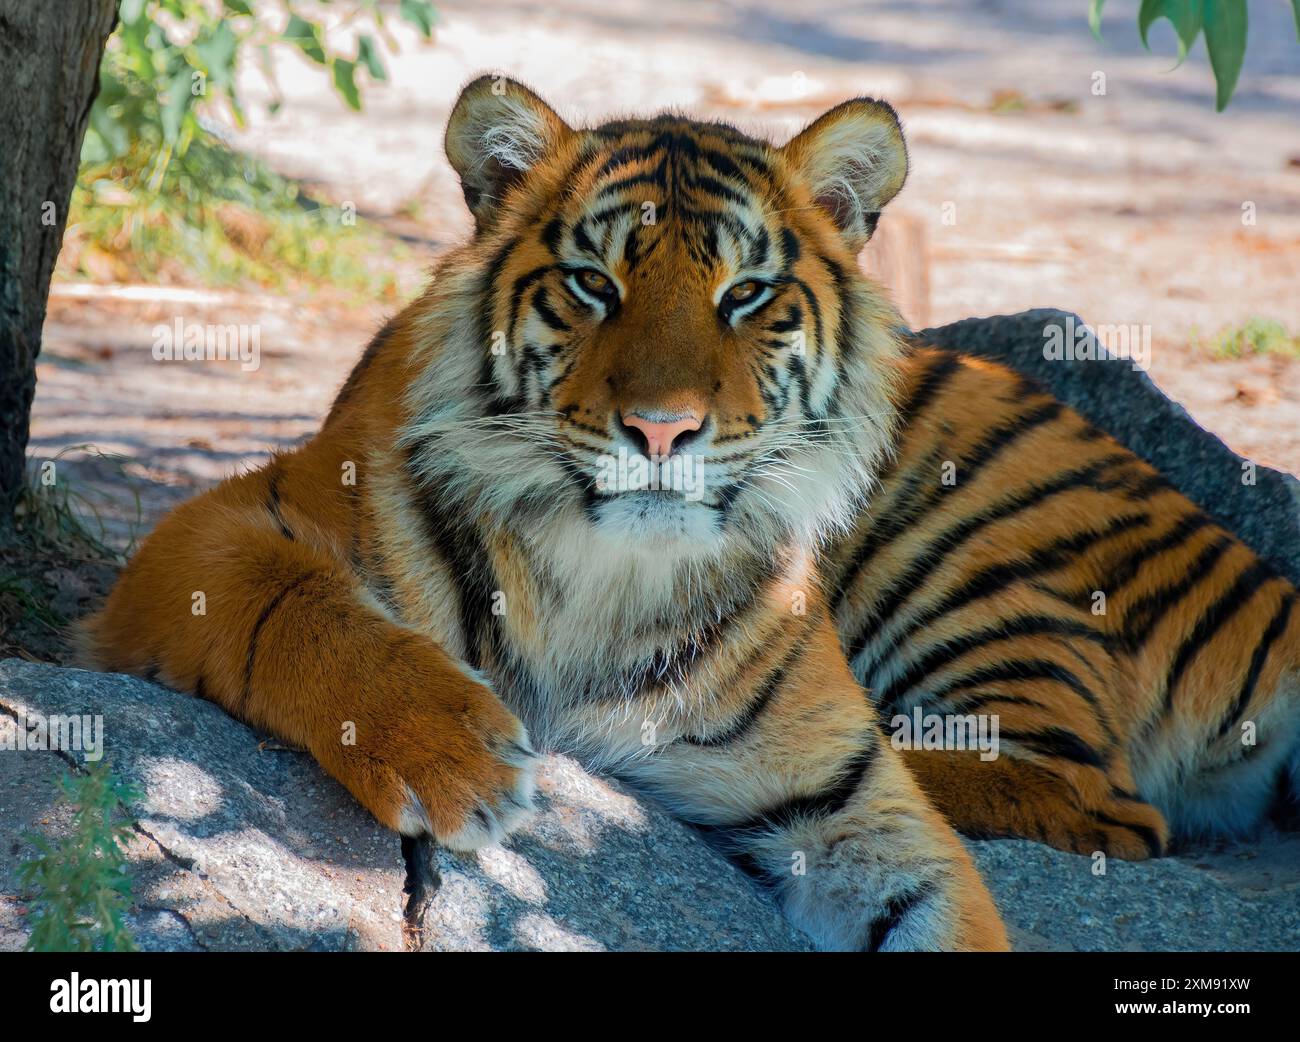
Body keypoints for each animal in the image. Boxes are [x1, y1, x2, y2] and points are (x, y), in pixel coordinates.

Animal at [79, 76, 1300, 952]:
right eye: (593, 283)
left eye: (746, 296)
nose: (662, 431)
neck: (602, 575)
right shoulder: (214, 531)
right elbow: (310, 614)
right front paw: (459, 754)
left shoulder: (852, 801)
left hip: (976, 569)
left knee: (1095, 798)